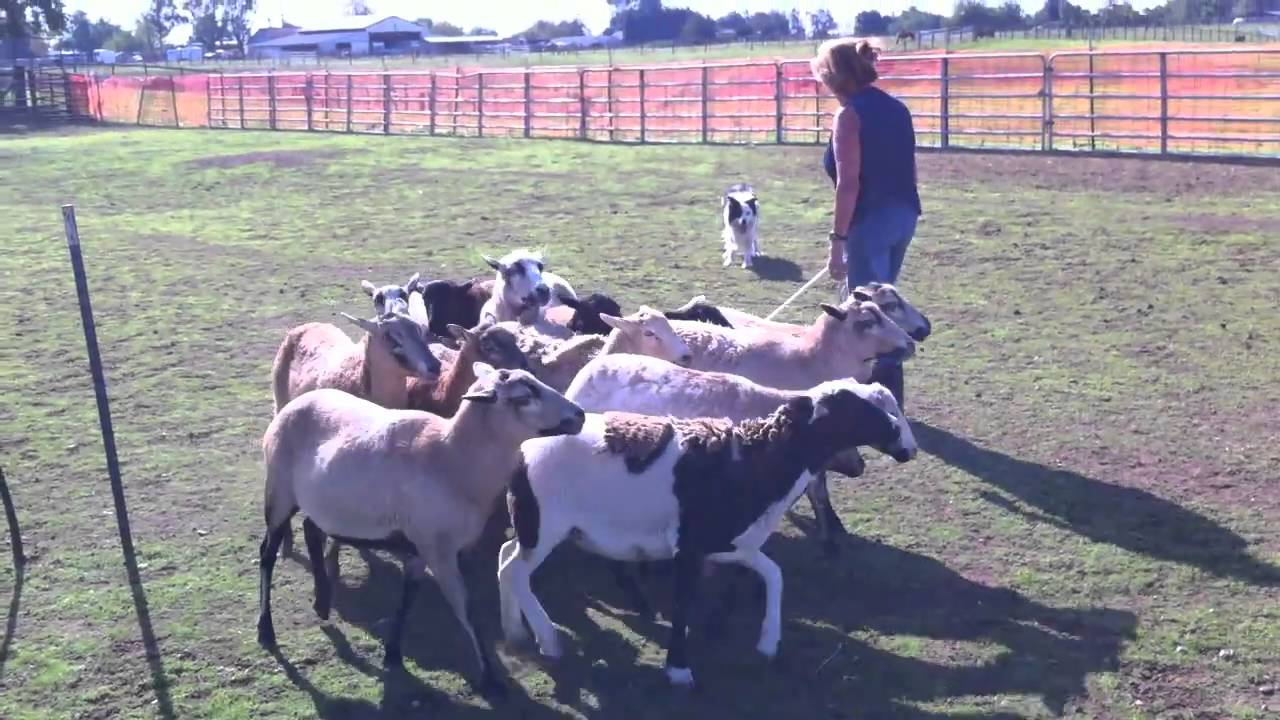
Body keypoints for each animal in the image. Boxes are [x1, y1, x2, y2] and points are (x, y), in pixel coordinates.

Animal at [257, 365, 586, 693]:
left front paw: (392, 654)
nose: (580, 415)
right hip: (279, 492)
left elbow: (408, 600)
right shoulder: (439, 550)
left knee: (312, 529)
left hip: (324, 502)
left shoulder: (418, 548)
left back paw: (323, 604)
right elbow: (464, 607)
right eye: (522, 398)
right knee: (267, 553)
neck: (453, 458)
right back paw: (266, 631)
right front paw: (490, 678)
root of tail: (294, 404)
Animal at [496, 382, 916, 688]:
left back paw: (515, 630)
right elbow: (684, 603)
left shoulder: (731, 543)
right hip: (545, 524)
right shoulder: (690, 545)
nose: (907, 447)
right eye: (860, 408)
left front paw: (767, 642)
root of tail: (523, 449)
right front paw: (679, 669)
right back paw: (548, 640)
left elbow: (774, 574)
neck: (759, 460)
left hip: (532, 524)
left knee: (504, 558)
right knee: (516, 572)